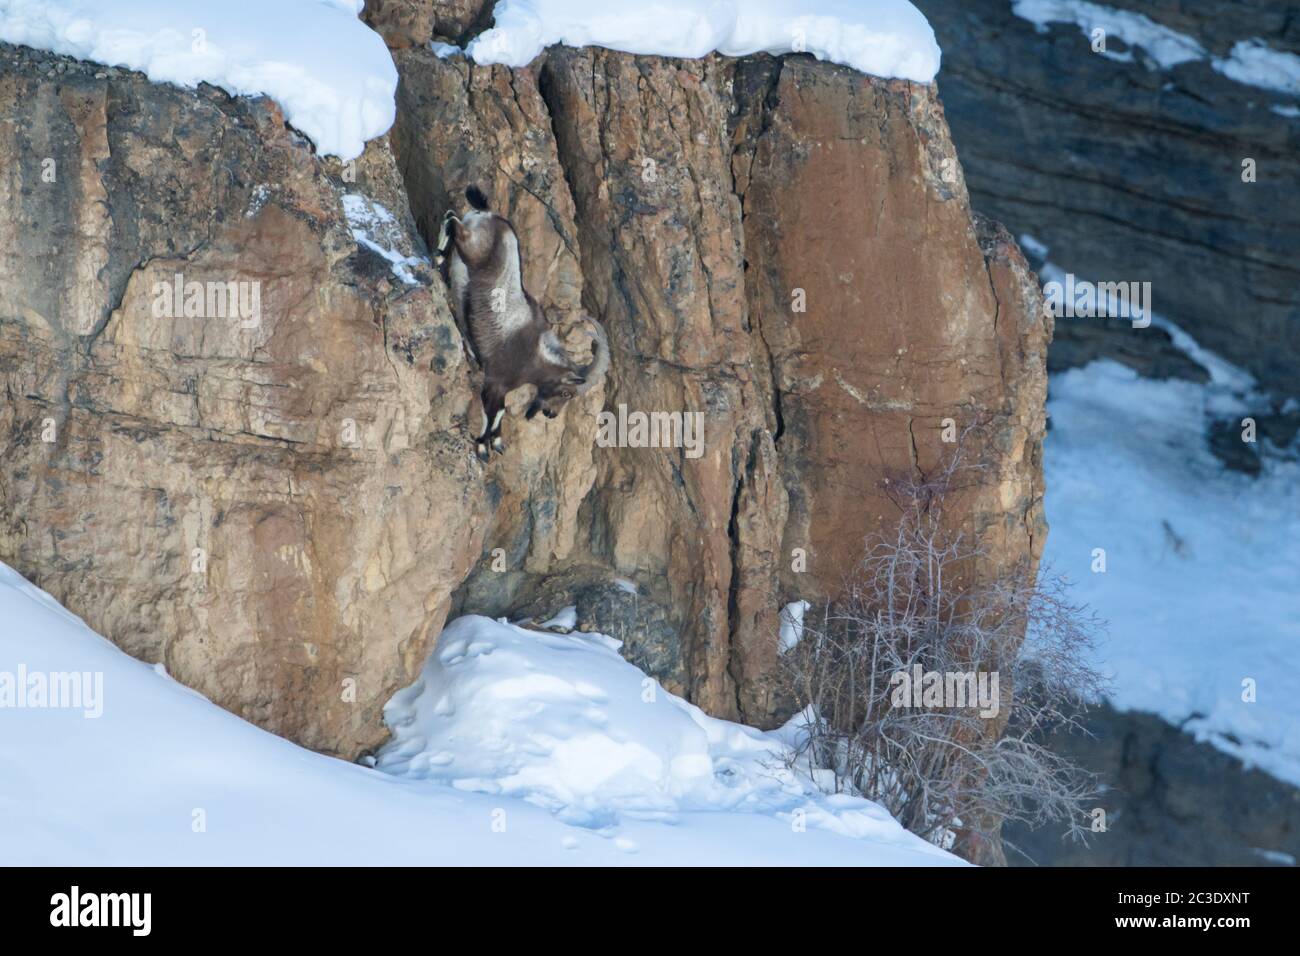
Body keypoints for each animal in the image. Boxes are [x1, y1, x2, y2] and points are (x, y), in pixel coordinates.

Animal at [436, 186, 608, 462]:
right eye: (566, 393)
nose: (552, 414)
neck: (535, 355)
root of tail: (490, 215)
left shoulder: (502, 387)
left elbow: (500, 413)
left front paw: (495, 443)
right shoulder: (496, 380)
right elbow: (493, 411)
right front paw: (483, 447)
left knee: (452, 216)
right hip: (472, 249)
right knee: (453, 222)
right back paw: (439, 258)